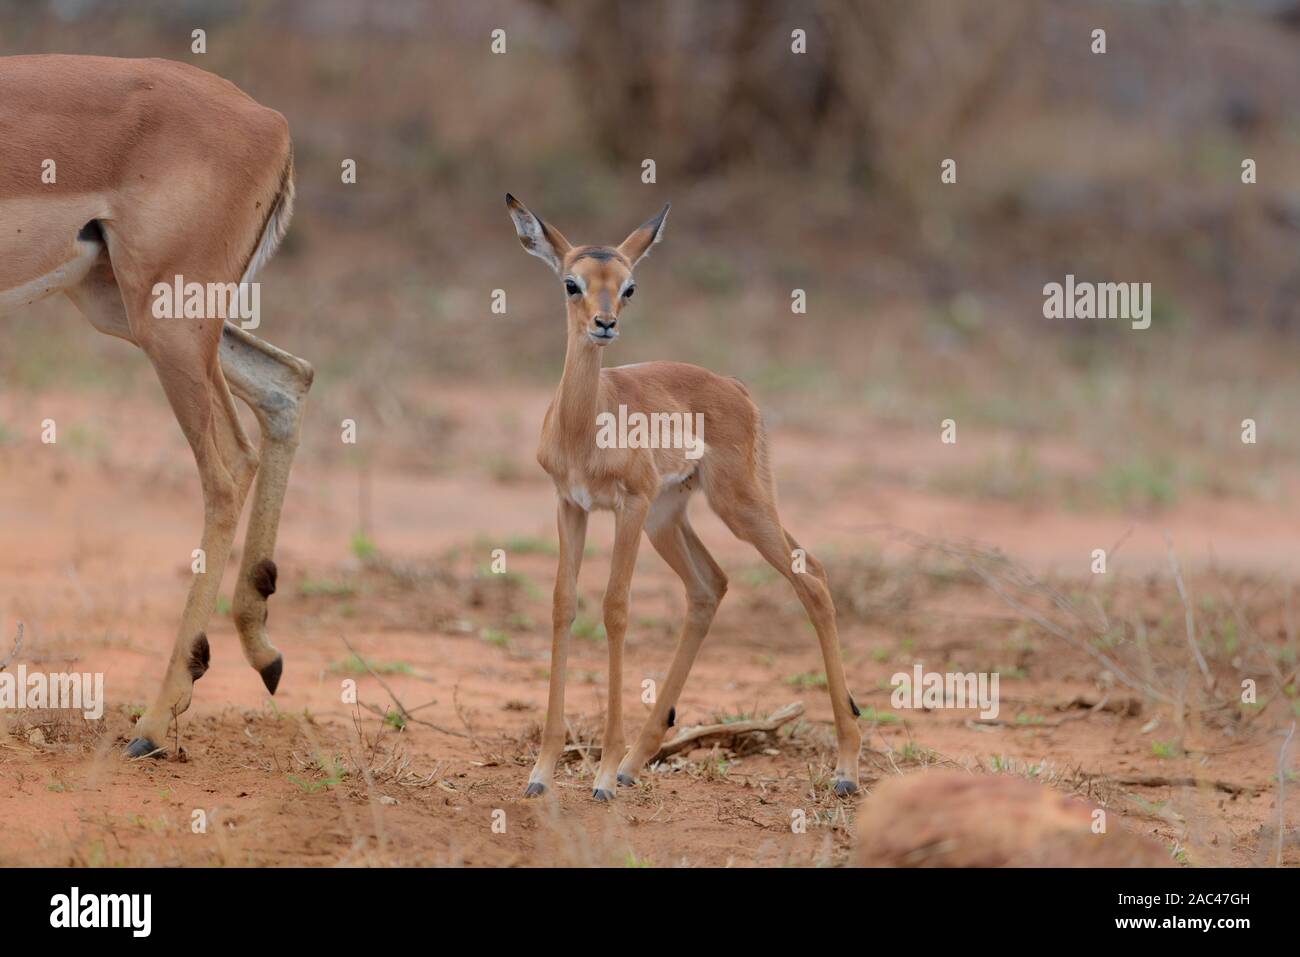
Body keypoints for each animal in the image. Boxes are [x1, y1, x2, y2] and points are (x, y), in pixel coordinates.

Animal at [0, 55, 313, 757]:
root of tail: (271, 122)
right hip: (127, 307)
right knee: (287, 382)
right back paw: (263, 650)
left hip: (166, 325)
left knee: (228, 468)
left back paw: (153, 722)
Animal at [506, 195, 862, 800]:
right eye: (572, 283)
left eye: (629, 287)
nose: (605, 324)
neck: (586, 426)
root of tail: (735, 387)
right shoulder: (570, 506)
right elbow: (562, 605)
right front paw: (541, 774)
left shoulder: (628, 505)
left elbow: (616, 608)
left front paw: (600, 776)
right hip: (670, 517)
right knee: (709, 585)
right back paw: (635, 761)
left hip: (735, 505)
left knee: (811, 576)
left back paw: (845, 768)